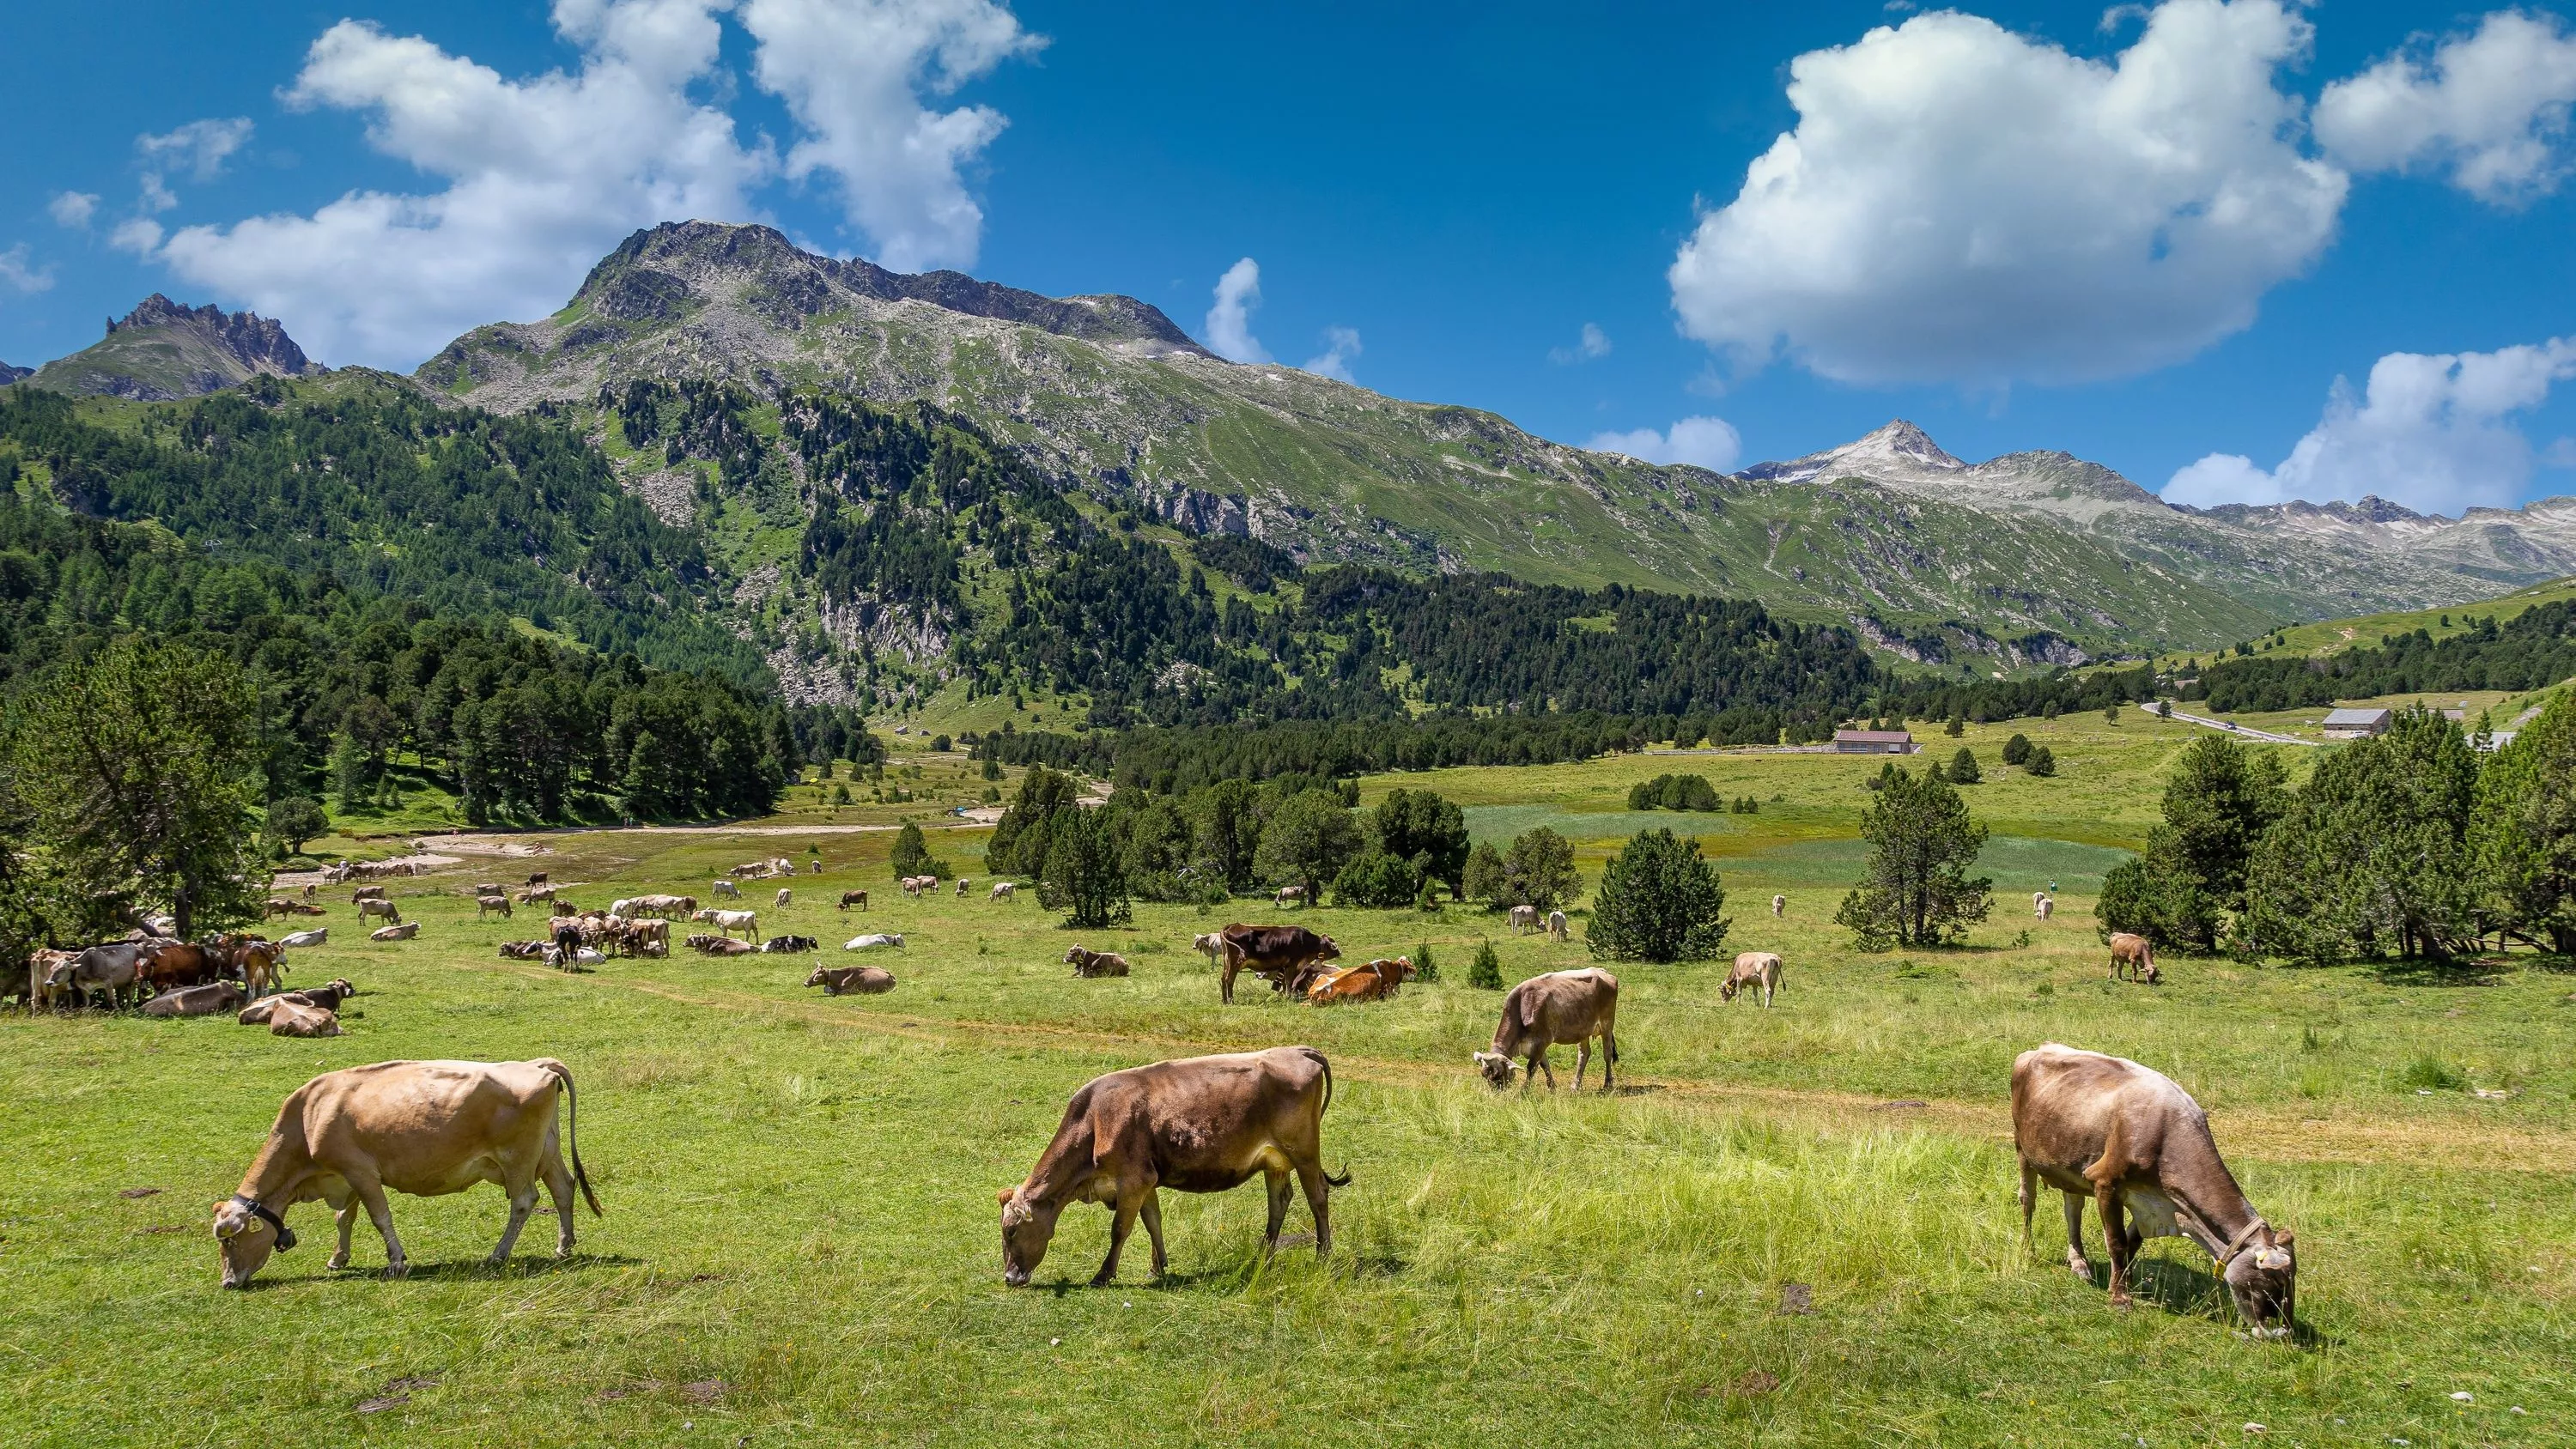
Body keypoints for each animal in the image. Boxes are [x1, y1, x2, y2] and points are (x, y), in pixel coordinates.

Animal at [210, 1058, 600, 1287]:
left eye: (229, 1239)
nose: (228, 1282)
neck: (309, 1117)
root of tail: (537, 1064)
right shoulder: (347, 1176)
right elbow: (344, 1218)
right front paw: (338, 1258)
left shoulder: (360, 1171)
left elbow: (380, 1217)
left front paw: (397, 1262)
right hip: (547, 1152)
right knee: (563, 1189)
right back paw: (563, 1246)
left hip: (516, 1158)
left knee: (524, 1201)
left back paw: (498, 1254)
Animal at [998, 1046, 1348, 1288]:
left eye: (1011, 1230)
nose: (1010, 1277)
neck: (1095, 1121)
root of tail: (1299, 1050)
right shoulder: (1146, 1181)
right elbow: (1153, 1222)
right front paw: (1157, 1266)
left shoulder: (1133, 1180)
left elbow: (1120, 1229)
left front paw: (1104, 1274)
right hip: (1275, 1160)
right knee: (1279, 1200)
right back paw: (1263, 1256)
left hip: (1304, 1151)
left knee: (1317, 1195)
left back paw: (1323, 1255)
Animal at [1215, 924, 1340, 1005]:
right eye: (1330, 944)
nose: (1339, 952)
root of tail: (1231, 926)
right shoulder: (1292, 964)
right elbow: (1289, 982)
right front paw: (1289, 997)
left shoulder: (1285, 966)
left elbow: (1284, 983)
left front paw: (1283, 996)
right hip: (1234, 963)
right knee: (1229, 980)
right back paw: (1231, 1001)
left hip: (1227, 962)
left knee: (1223, 979)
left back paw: (1224, 1001)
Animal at [1475, 968, 1620, 1092]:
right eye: (1484, 1074)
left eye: (1498, 1074)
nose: (1496, 1092)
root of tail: (1601, 971)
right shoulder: (1537, 1045)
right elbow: (1545, 1065)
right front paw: (1552, 1088)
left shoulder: (1542, 1041)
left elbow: (1531, 1068)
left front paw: (1524, 1091)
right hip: (1583, 1030)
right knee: (1584, 1054)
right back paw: (1575, 1085)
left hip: (1607, 1024)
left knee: (1607, 1053)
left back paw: (1607, 1084)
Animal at [2012, 1044, 2296, 1336]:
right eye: (2273, 1283)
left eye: (2291, 1281)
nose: (2282, 1333)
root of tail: (2040, 1048)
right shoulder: (2105, 1181)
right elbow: (2116, 1242)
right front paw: (2120, 1298)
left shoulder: (2153, 1202)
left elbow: (2132, 1242)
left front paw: (2127, 1281)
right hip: (2022, 1147)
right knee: (2028, 1200)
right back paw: (2028, 1249)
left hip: (2070, 1164)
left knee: (2073, 1210)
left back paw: (2079, 1263)